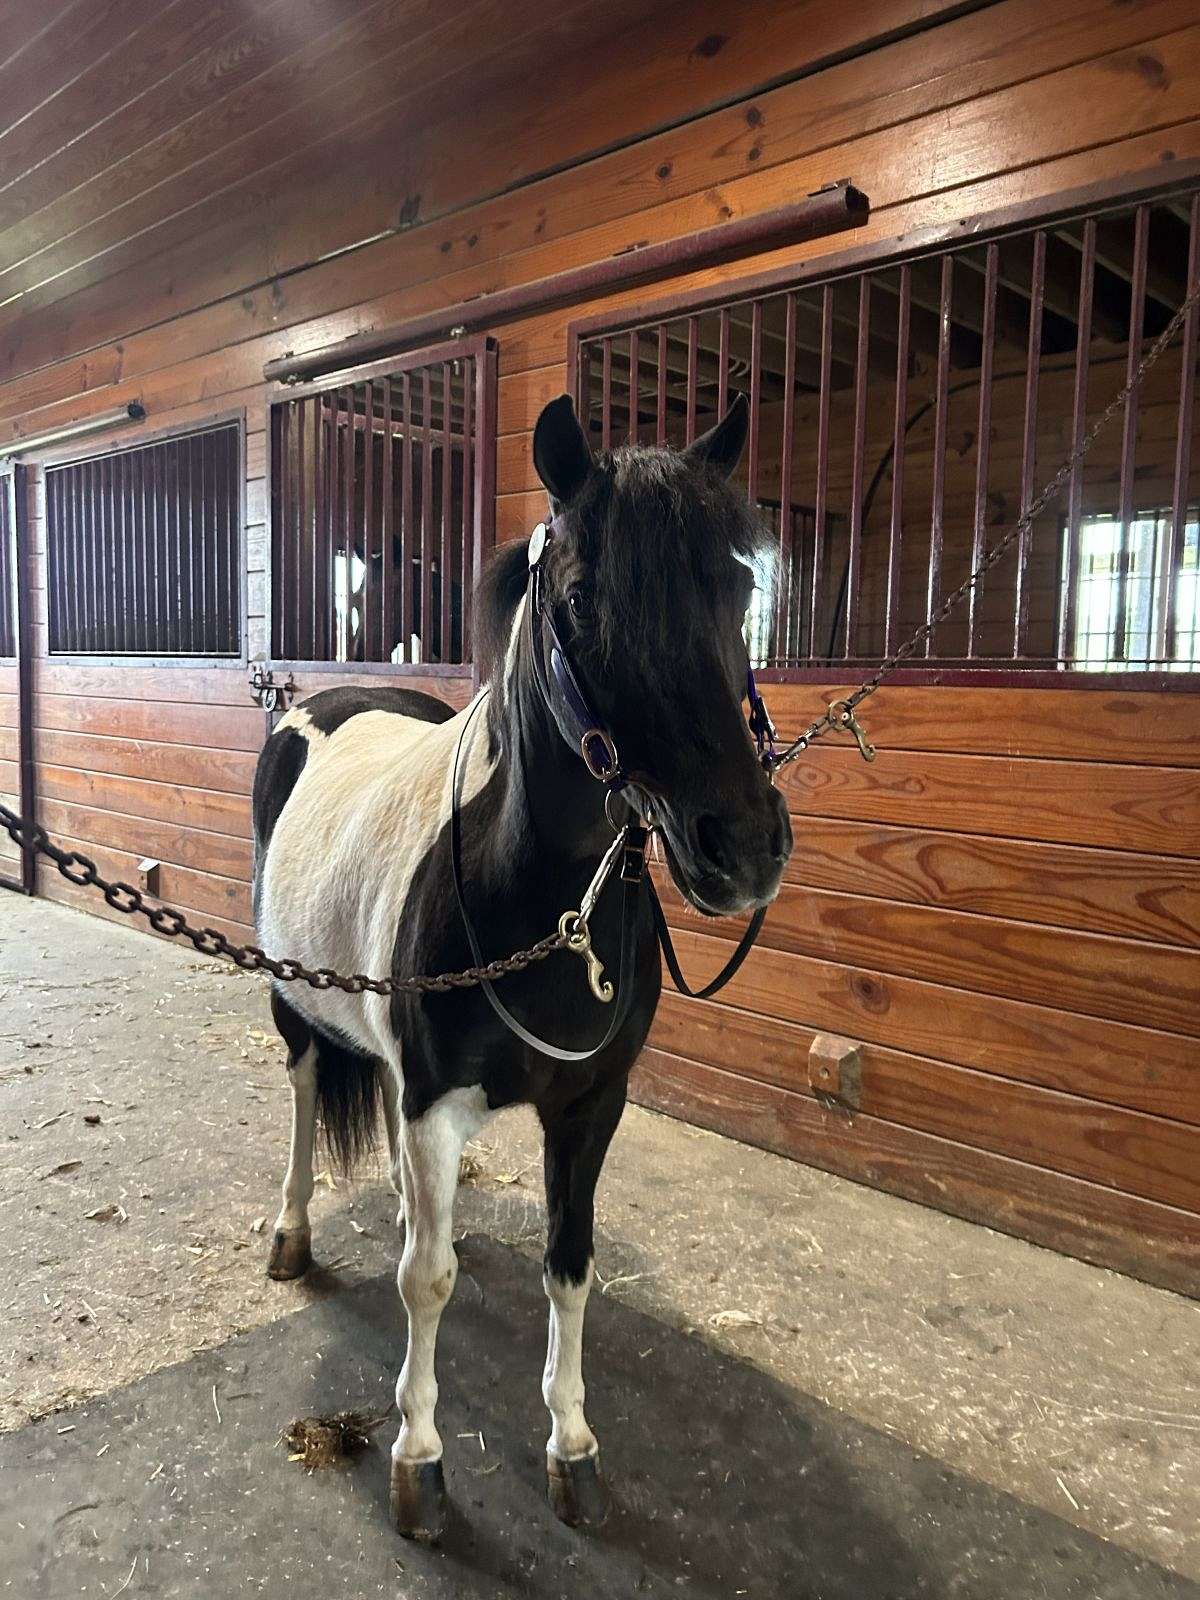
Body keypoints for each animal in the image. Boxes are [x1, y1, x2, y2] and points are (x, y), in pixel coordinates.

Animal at [251, 391, 792, 1541]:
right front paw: (418, 1461)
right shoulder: (431, 1103)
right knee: (310, 1093)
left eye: (738, 585)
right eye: (583, 597)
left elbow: (569, 1267)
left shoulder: (590, 1106)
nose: (742, 846)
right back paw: (291, 1232)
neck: (546, 908)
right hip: (294, 1004)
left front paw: (573, 1444)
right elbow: (427, 1281)